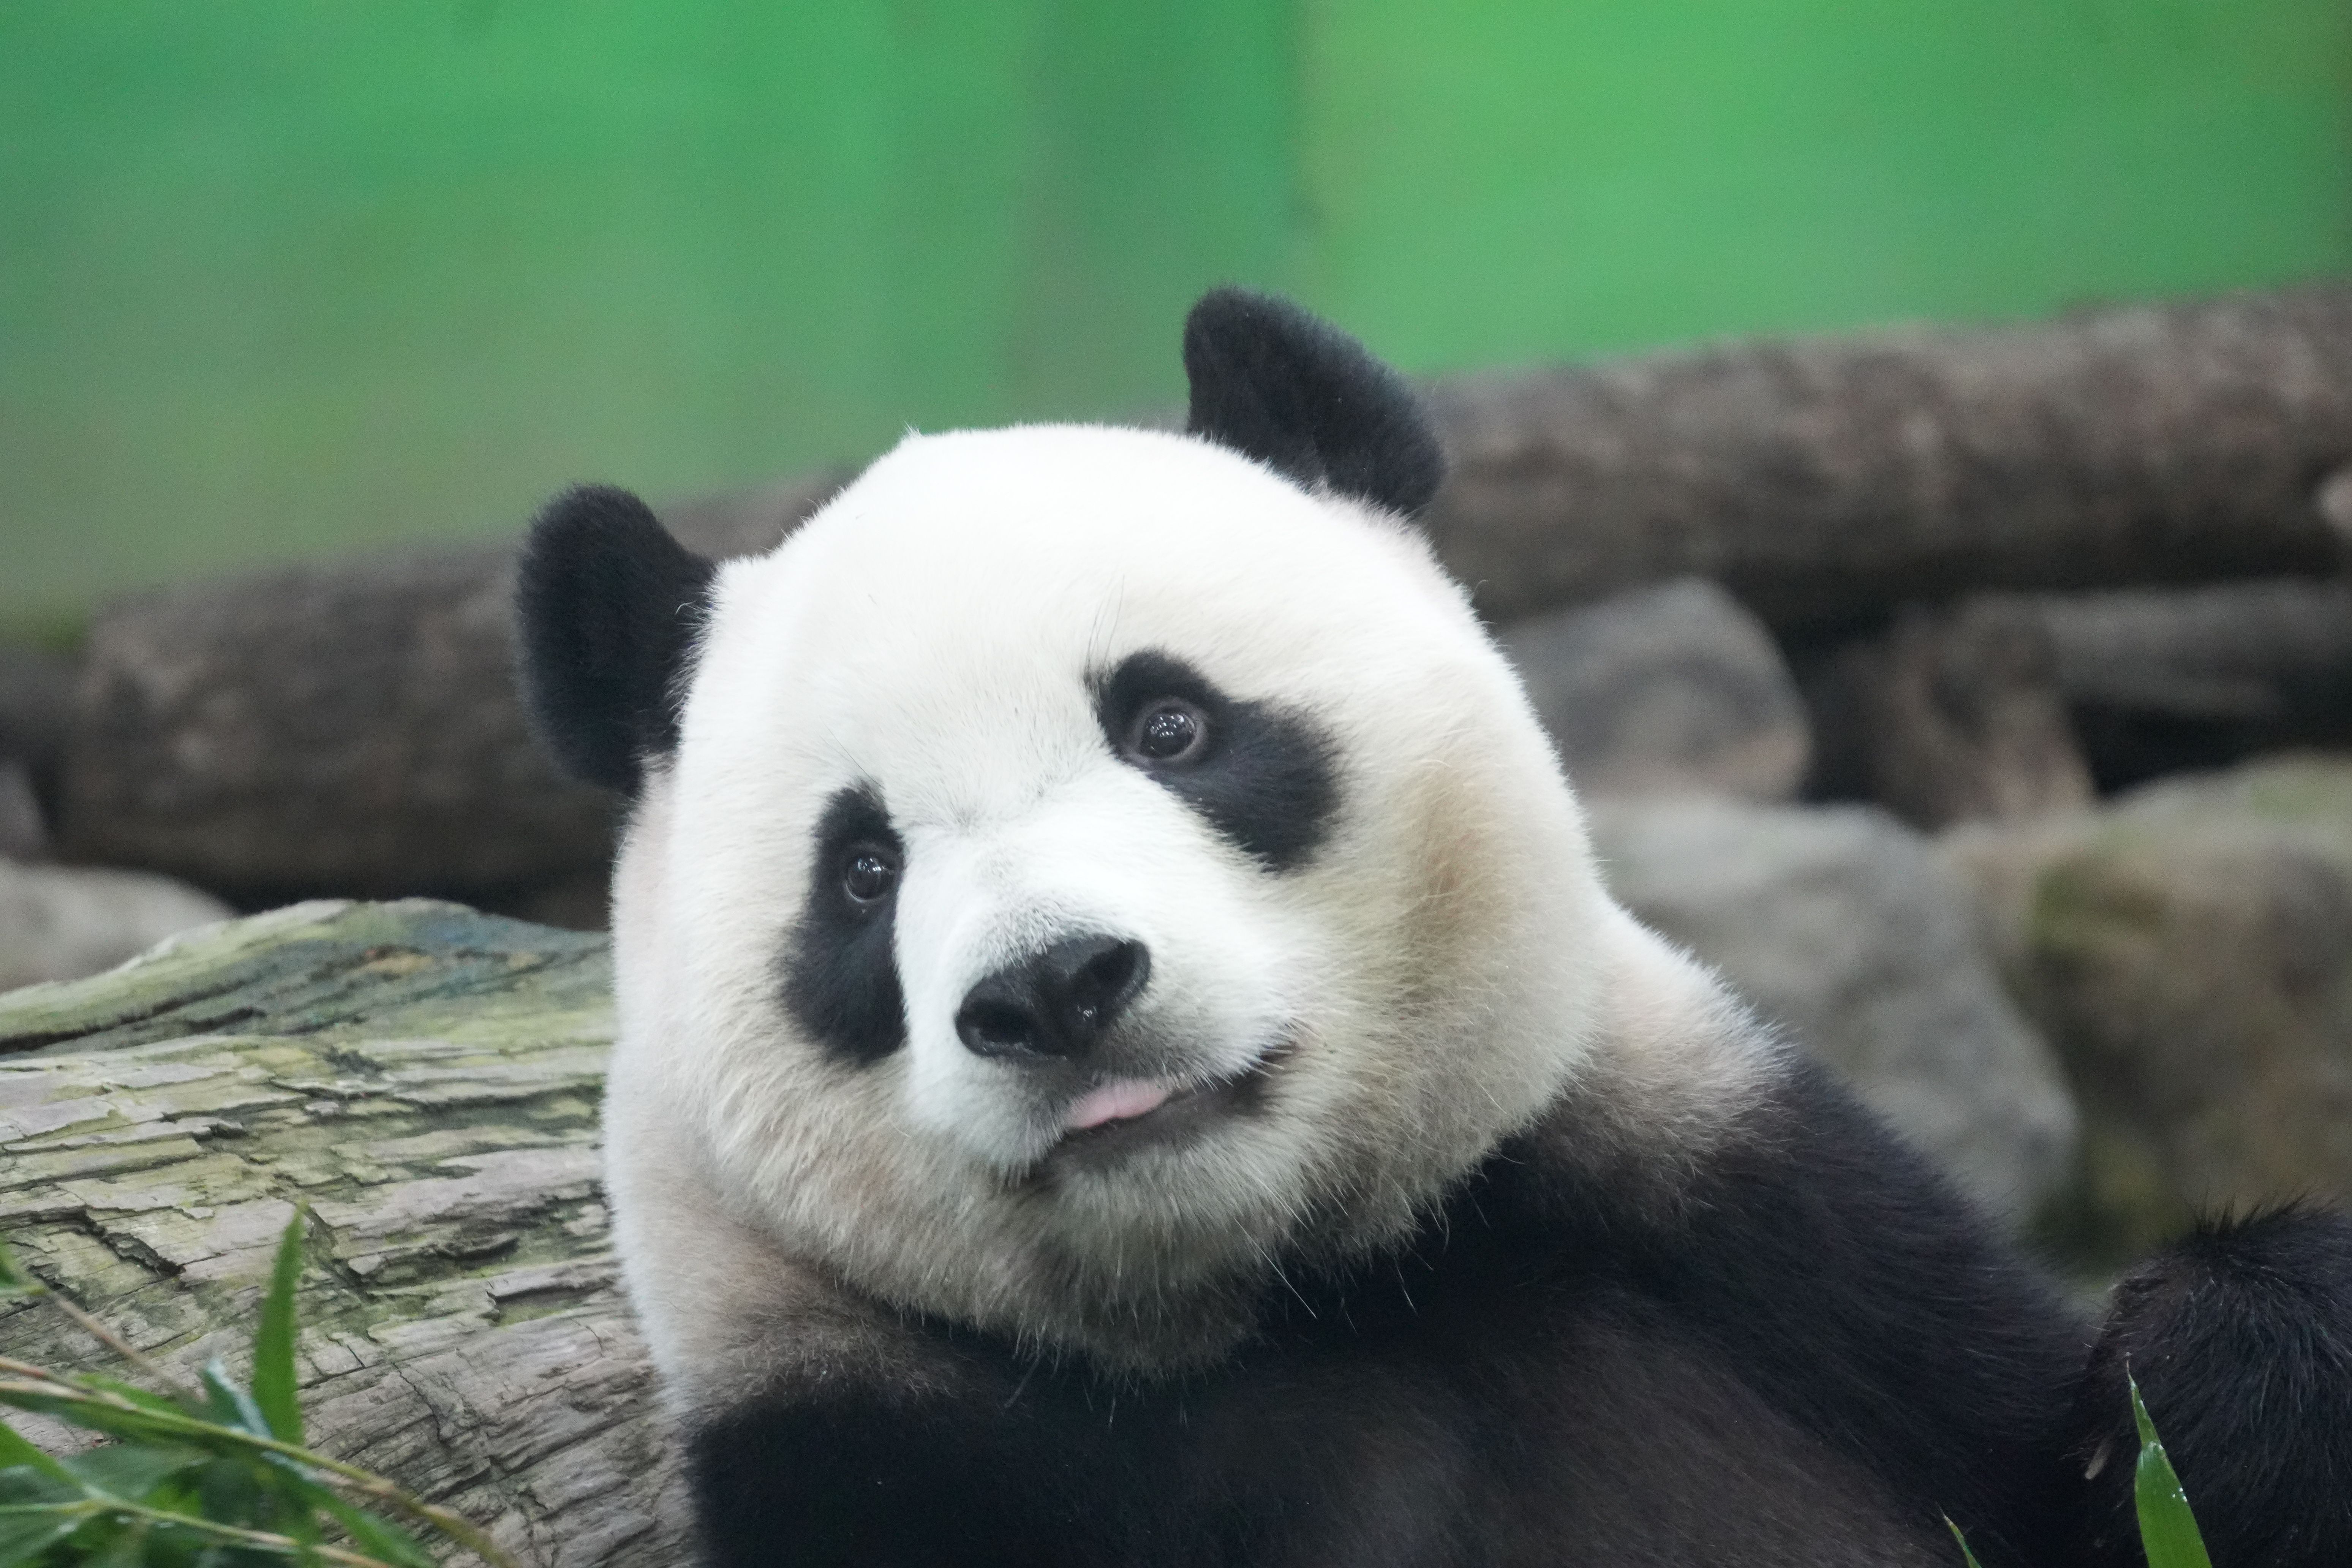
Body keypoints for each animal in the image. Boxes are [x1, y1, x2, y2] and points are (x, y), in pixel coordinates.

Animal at [515, 289, 2352, 1567]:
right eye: (862, 870)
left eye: (1168, 725)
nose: (1055, 984)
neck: (1283, 1299)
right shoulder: (871, 1446)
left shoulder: (1746, 1236)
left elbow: (2100, 1465)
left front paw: (2229, 1363)